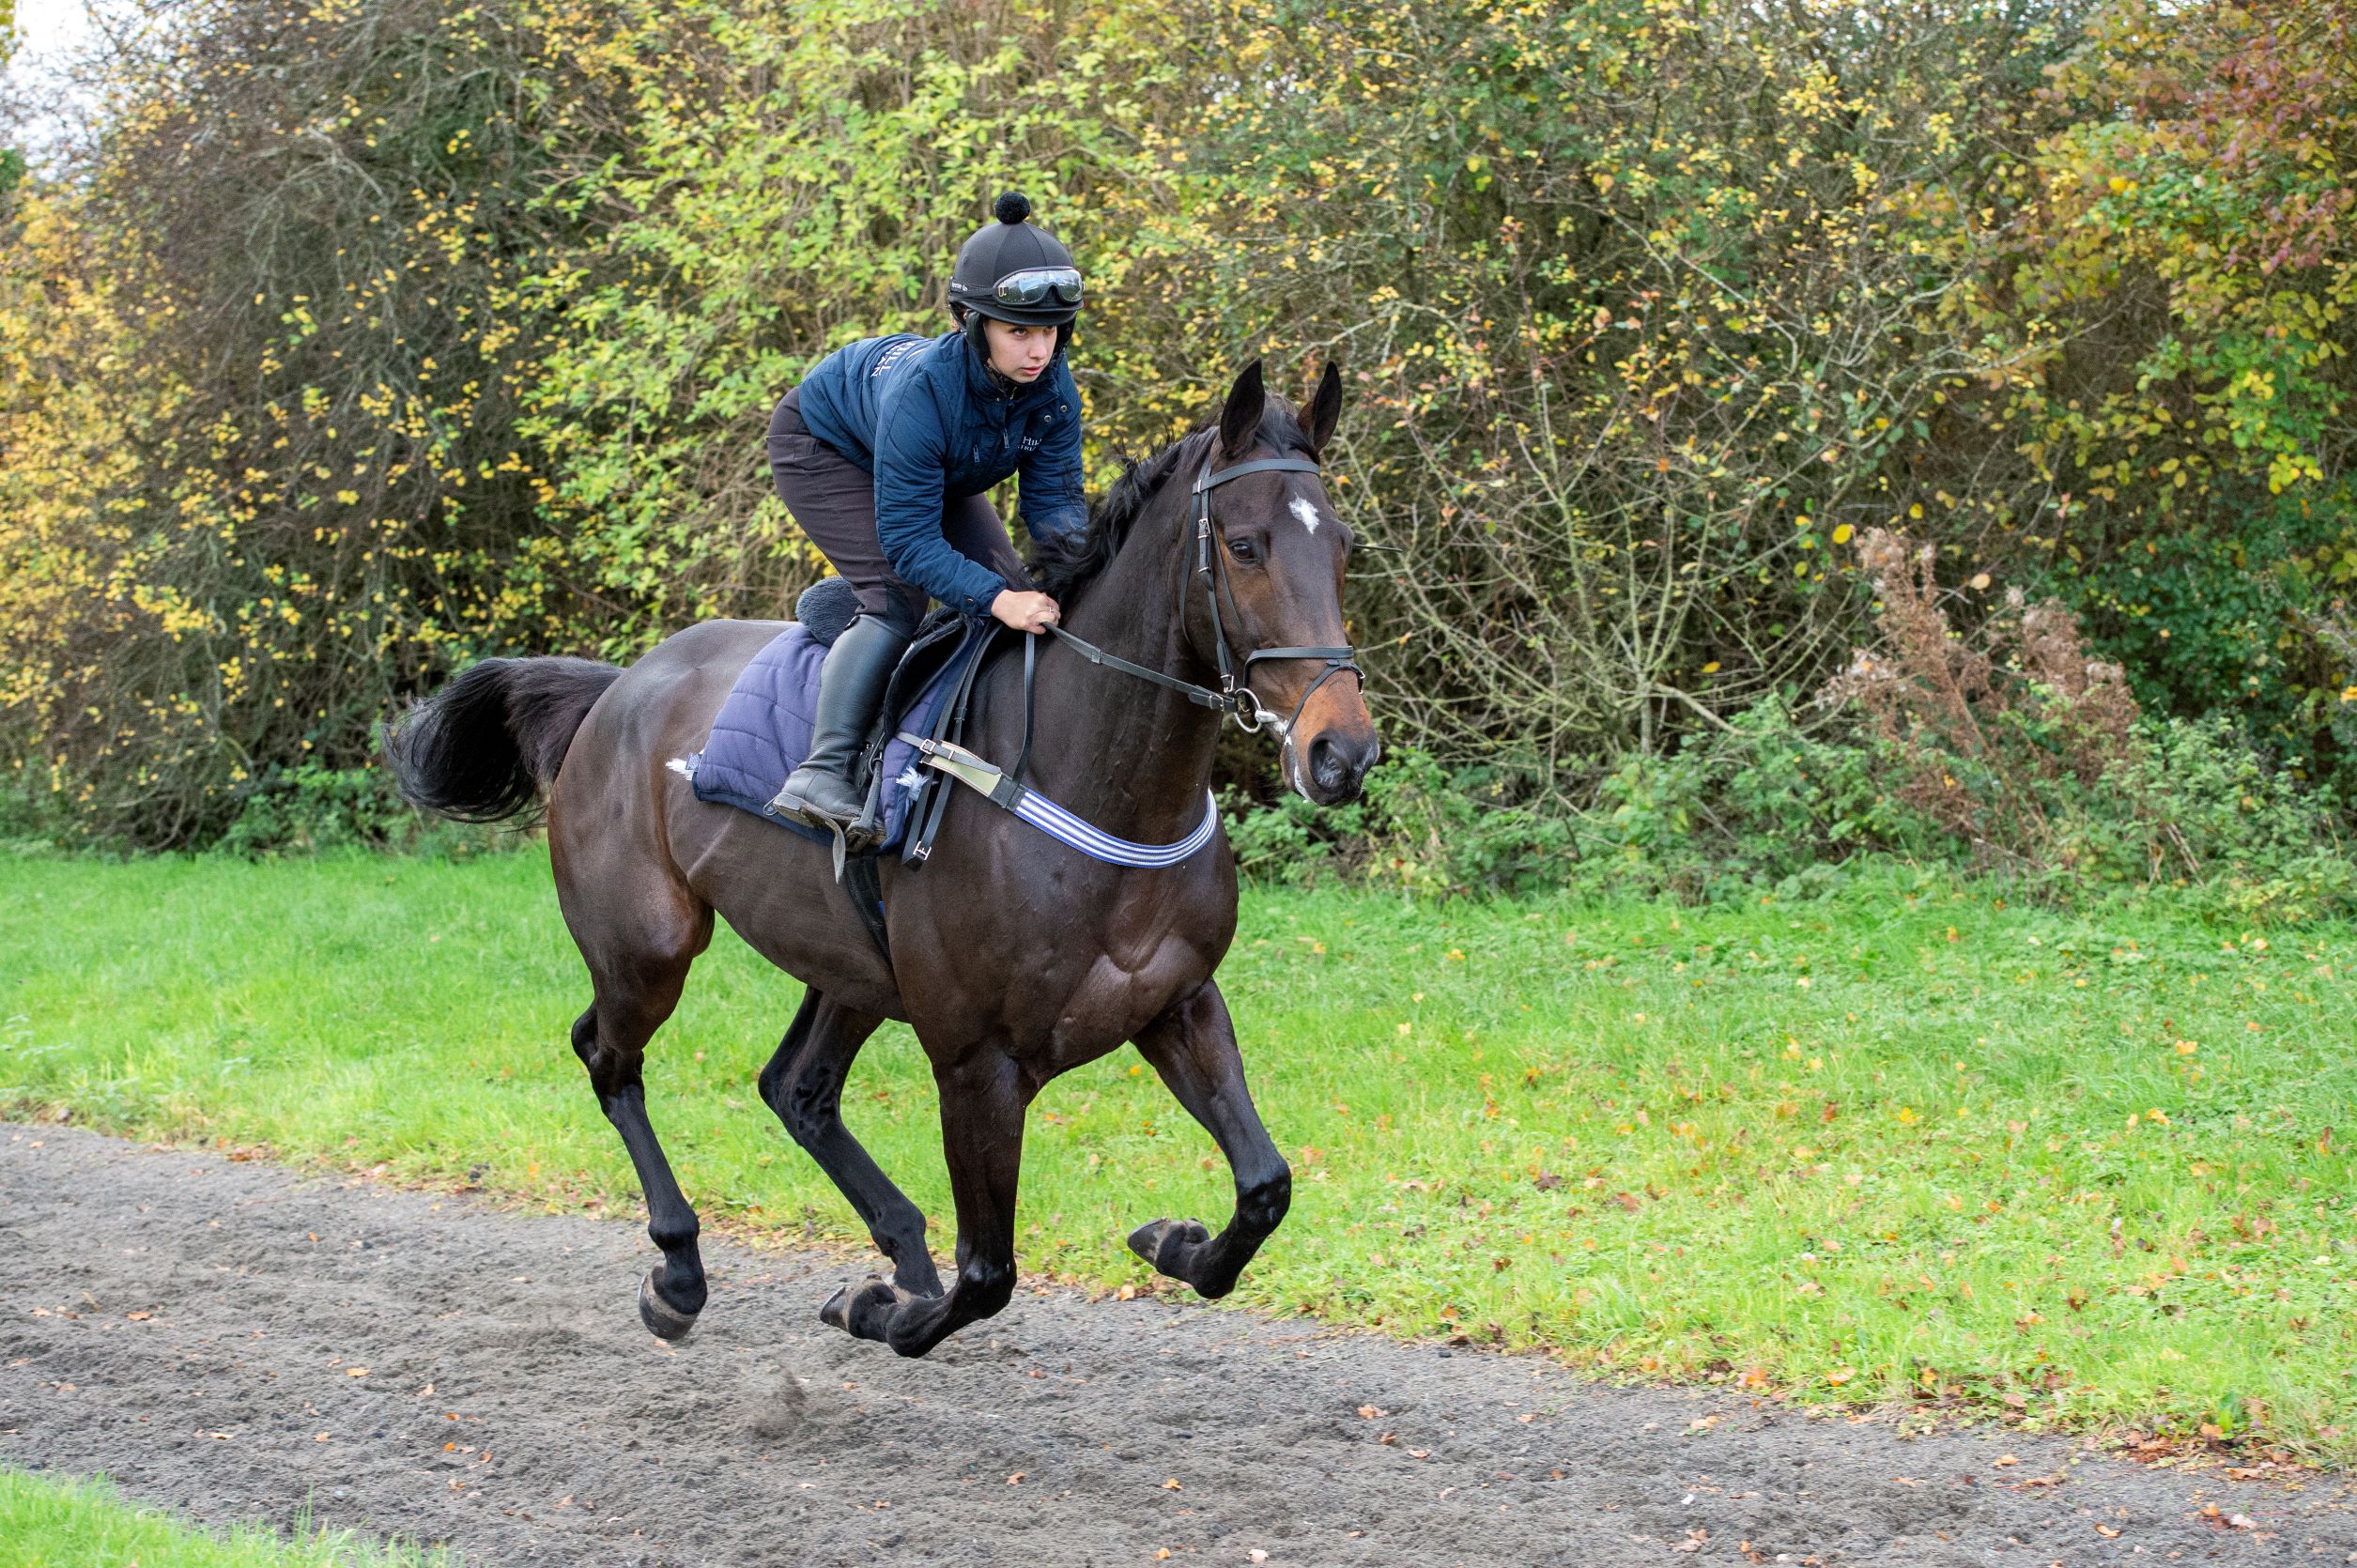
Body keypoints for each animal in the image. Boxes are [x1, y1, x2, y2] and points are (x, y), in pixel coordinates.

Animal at [383, 361, 1378, 1357]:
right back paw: (680, 1270)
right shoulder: (976, 1060)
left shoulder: (1177, 1002)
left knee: (797, 1089)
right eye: (1244, 546)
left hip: (853, 964)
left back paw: (898, 1249)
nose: (1342, 752)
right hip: (647, 945)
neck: (1096, 784)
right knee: (608, 1055)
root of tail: (615, 688)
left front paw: (1174, 1243)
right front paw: (879, 1311)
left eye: (1342, 548)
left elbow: (1266, 1185)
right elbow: (988, 1274)